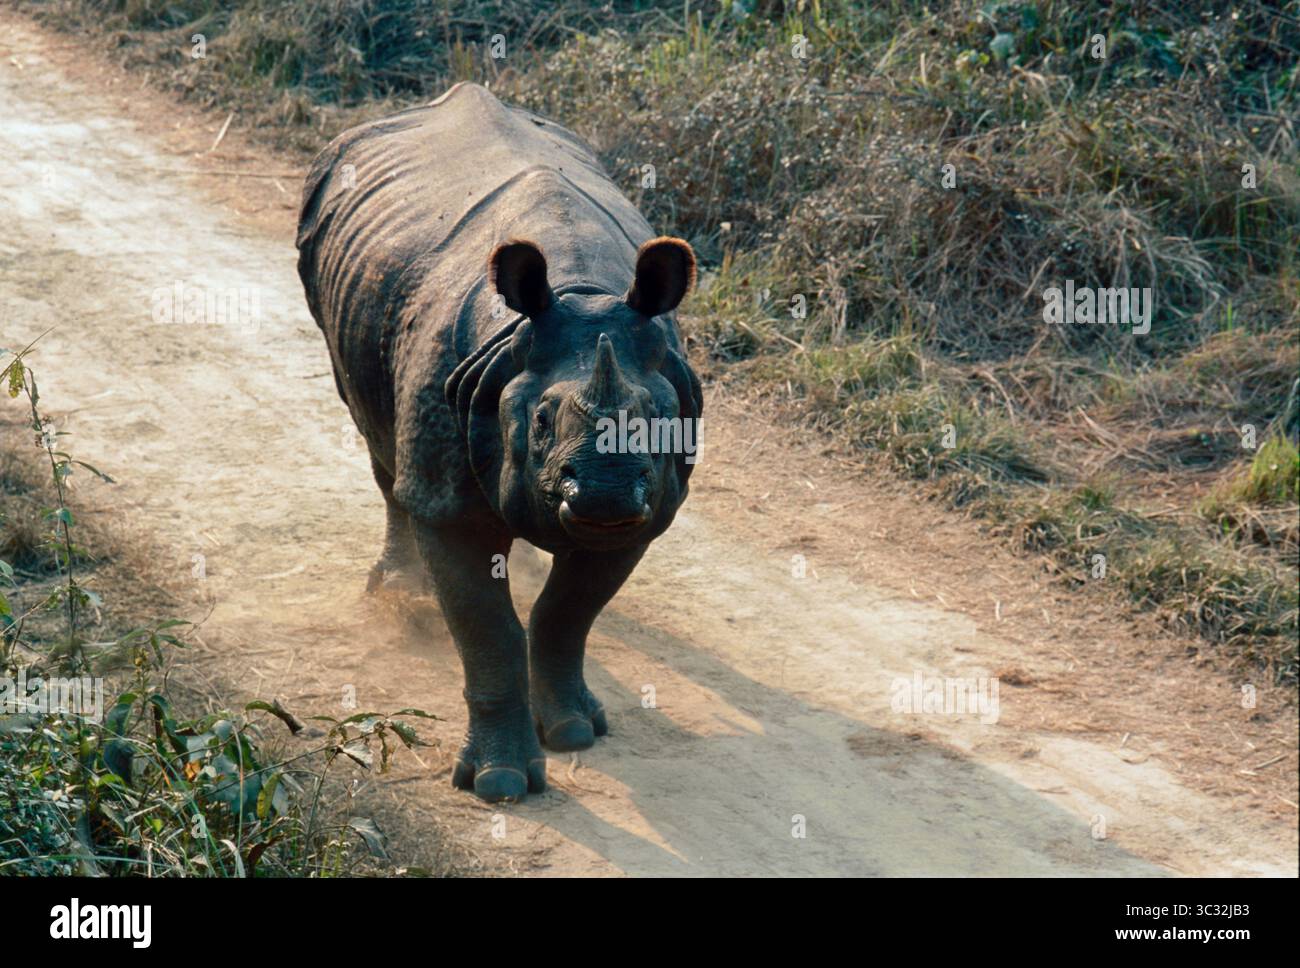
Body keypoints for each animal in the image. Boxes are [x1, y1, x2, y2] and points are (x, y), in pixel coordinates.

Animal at [295, 83, 702, 802]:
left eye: (658, 417)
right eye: (538, 420)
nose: (603, 494)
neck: (581, 292)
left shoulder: (652, 506)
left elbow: (567, 614)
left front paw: (574, 730)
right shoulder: (450, 502)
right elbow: (489, 631)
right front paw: (502, 782)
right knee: (382, 449)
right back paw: (402, 594)